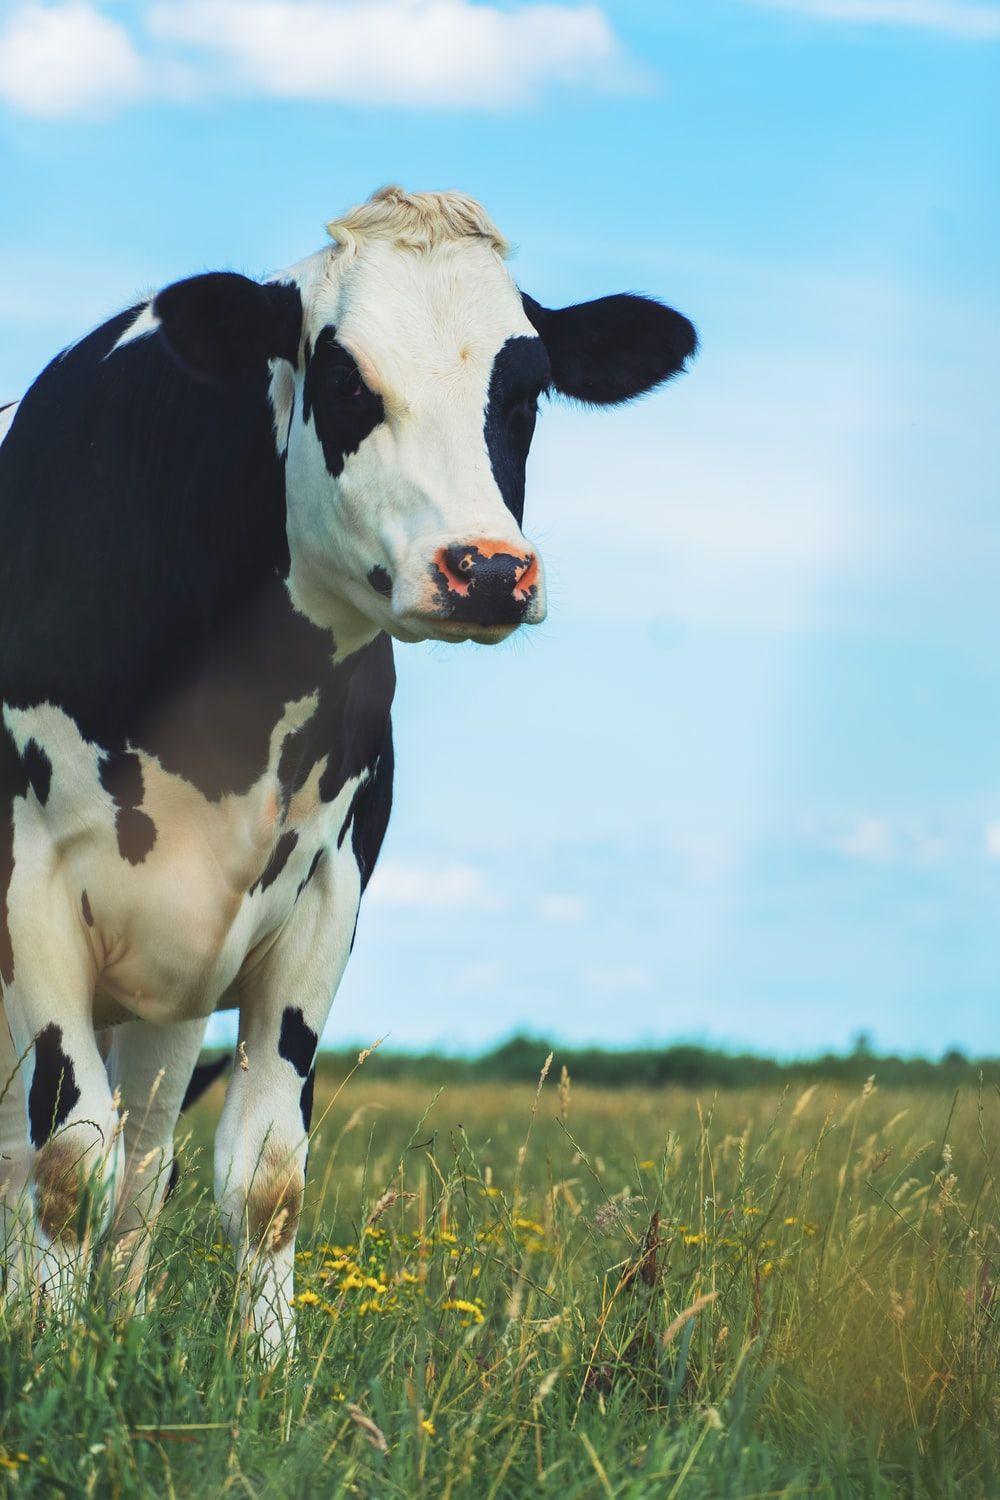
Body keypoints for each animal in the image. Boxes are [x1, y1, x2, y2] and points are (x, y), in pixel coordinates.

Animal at [0, 187, 695, 1357]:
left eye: (526, 391)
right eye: (343, 381)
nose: (489, 569)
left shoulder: (325, 890)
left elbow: (260, 1173)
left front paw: (263, 1370)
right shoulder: (32, 879)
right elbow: (63, 1159)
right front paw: (47, 1354)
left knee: (146, 1160)